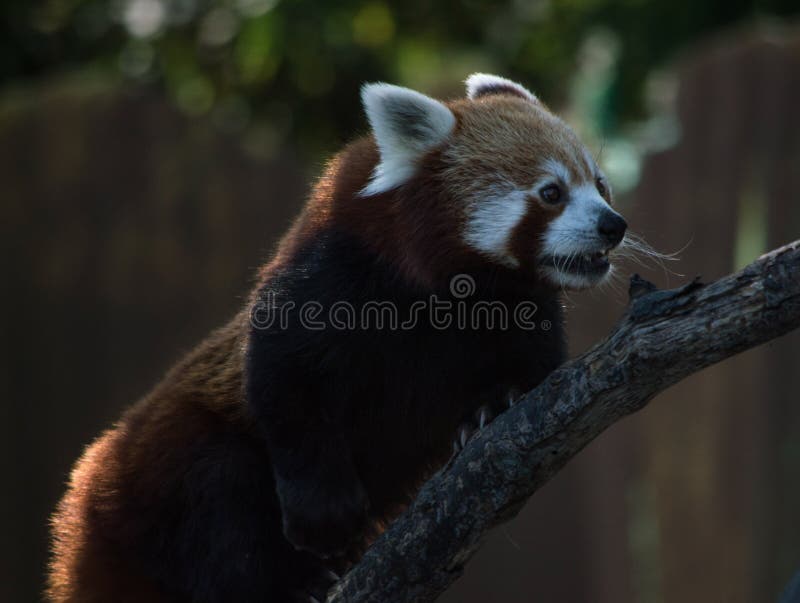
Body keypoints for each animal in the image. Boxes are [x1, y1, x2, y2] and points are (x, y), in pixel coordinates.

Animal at [48, 74, 627, 602]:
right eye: (551, 193)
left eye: (600, 186)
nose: (613, 225)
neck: (459, 291)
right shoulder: (331, 277)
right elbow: (288, 385)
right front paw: (324, 515)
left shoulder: (521, 311)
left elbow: (537, 372)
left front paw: (498, 400)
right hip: (163, 462)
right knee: (218, 498)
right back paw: (287, 584)